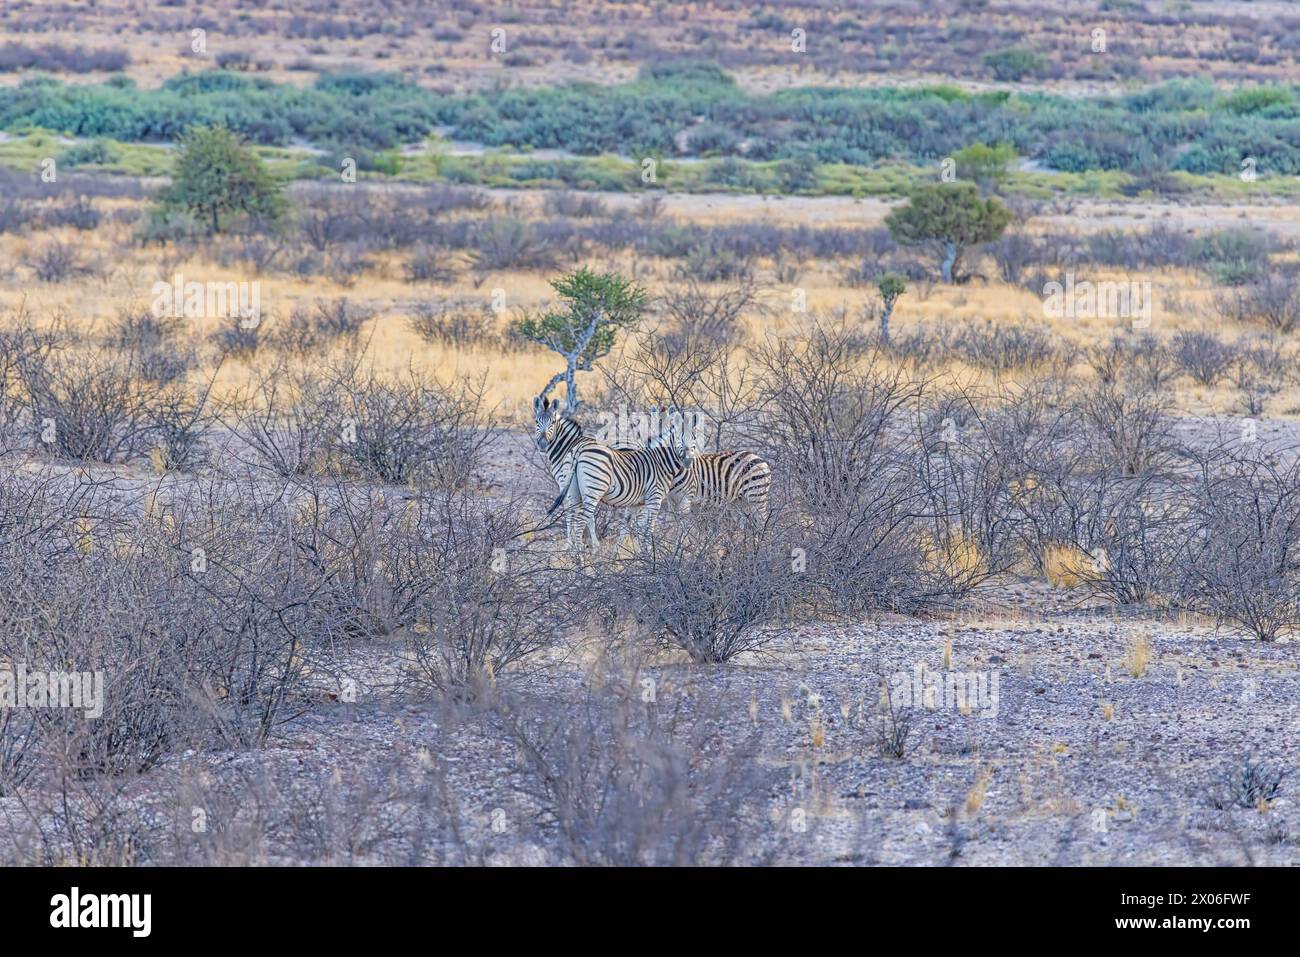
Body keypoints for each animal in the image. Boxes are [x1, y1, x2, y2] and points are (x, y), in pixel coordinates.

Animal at [544, 408, 694, 549]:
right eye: (679, 438)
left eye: (693, 439)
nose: (688, 461)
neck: (660, 461)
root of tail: (578, 449)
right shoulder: (654, 500)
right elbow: (647, 529)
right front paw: (649, 553)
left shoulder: (638, 503)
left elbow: (632, 527)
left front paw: (632, 553)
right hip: (593, 490)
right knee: (580, 521)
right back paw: (582, 556)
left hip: (575, 491)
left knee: (574, 517)